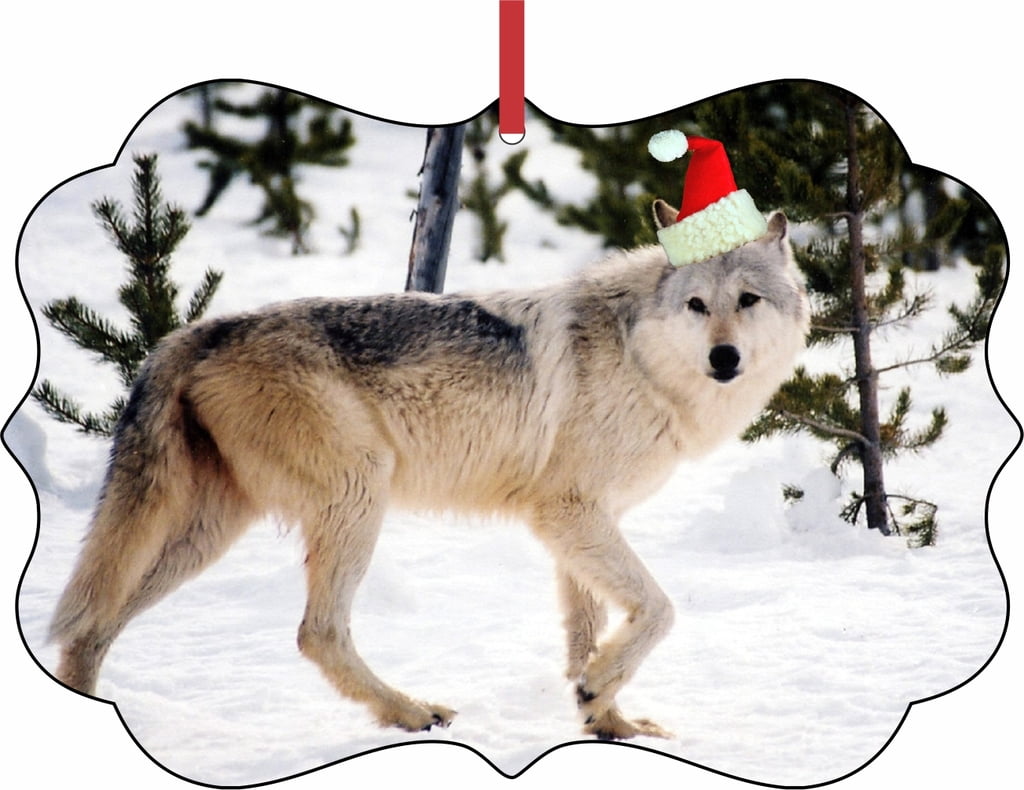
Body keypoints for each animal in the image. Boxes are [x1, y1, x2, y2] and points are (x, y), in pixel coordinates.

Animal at [48, 203, 809, 740]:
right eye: (697, 305)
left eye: (748, 301)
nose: (724, 359)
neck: (640, 359)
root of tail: (194, 331)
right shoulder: (567, 512)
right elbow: (658, 609)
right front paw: (599, 694)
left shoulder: (580, 523)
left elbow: (586, 636)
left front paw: (607, 719)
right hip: (358, 495)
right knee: (317, 632)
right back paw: (409, 711)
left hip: (208, 533)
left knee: (93, 628)